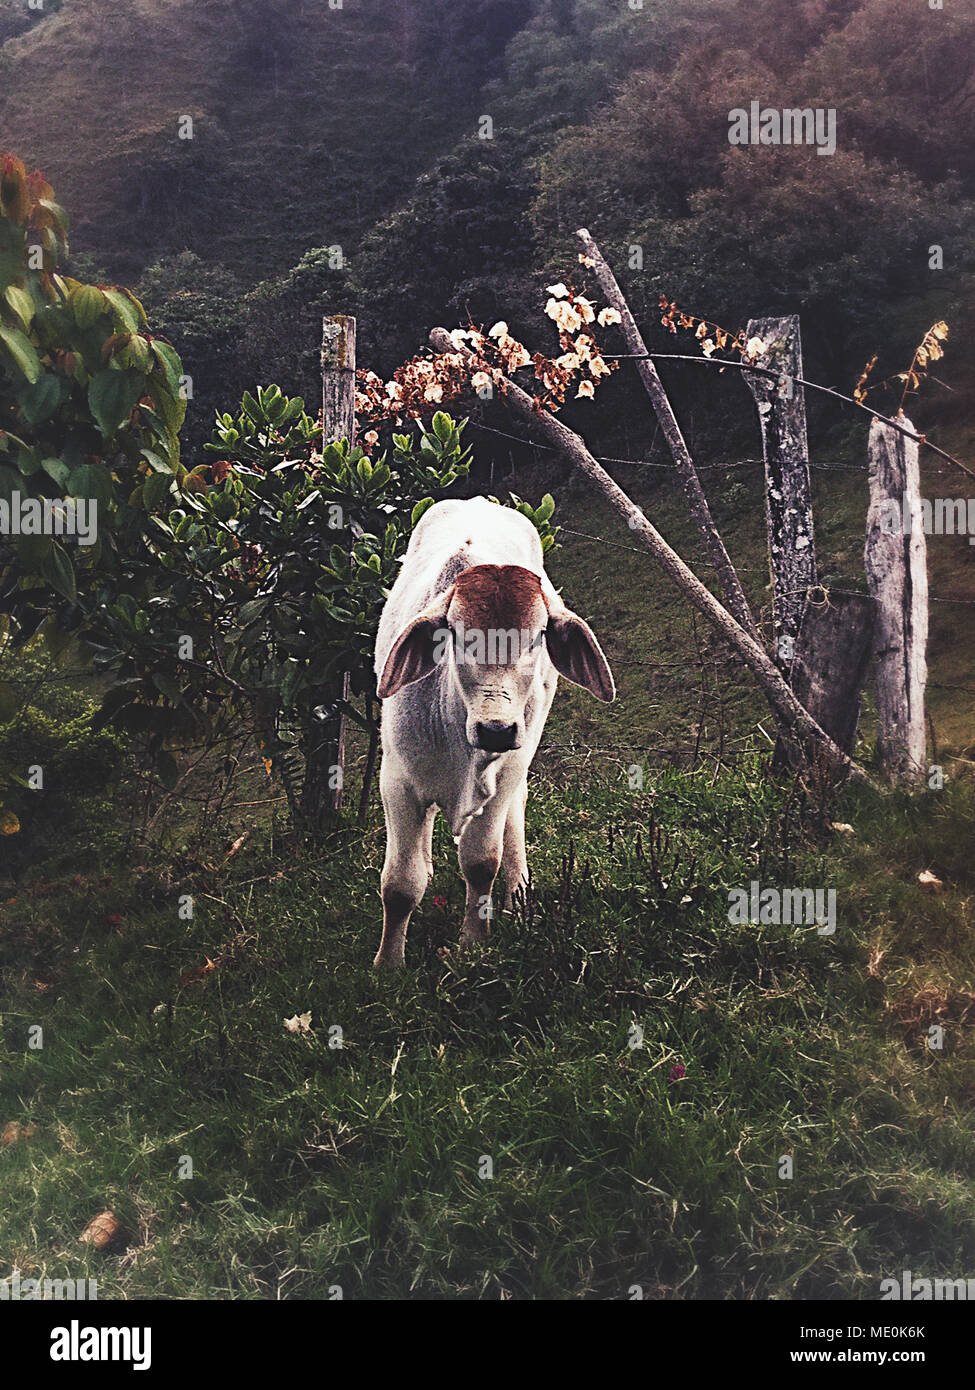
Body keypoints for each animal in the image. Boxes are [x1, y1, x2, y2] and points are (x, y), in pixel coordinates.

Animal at [372, 496, 615, 968]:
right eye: (455, 635)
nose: (496, 730)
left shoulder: (503, 776)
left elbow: (482, 863)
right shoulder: (397, 783)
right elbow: (400, 885)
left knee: (515, 814)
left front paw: (473, 943)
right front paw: (388, 965)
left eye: (538, 637)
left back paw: (518, 893)